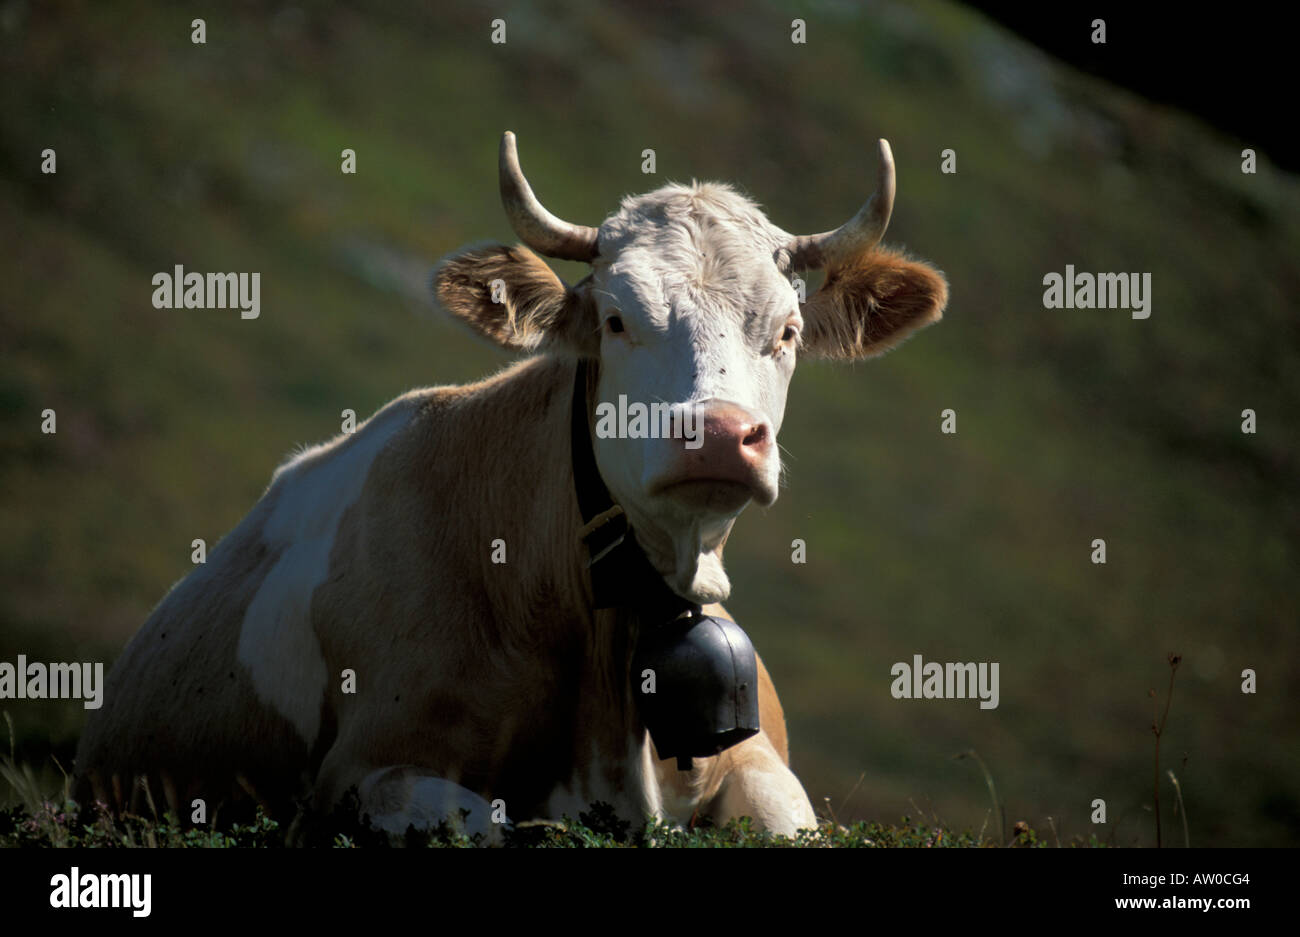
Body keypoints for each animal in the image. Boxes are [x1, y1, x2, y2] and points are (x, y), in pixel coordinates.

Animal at [74, 132, 947, 841]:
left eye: (788, 330)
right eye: (617, 320)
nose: (722, 434)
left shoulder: (763, 767)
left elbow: (782, 818)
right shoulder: (364, 772)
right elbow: (480, 823)